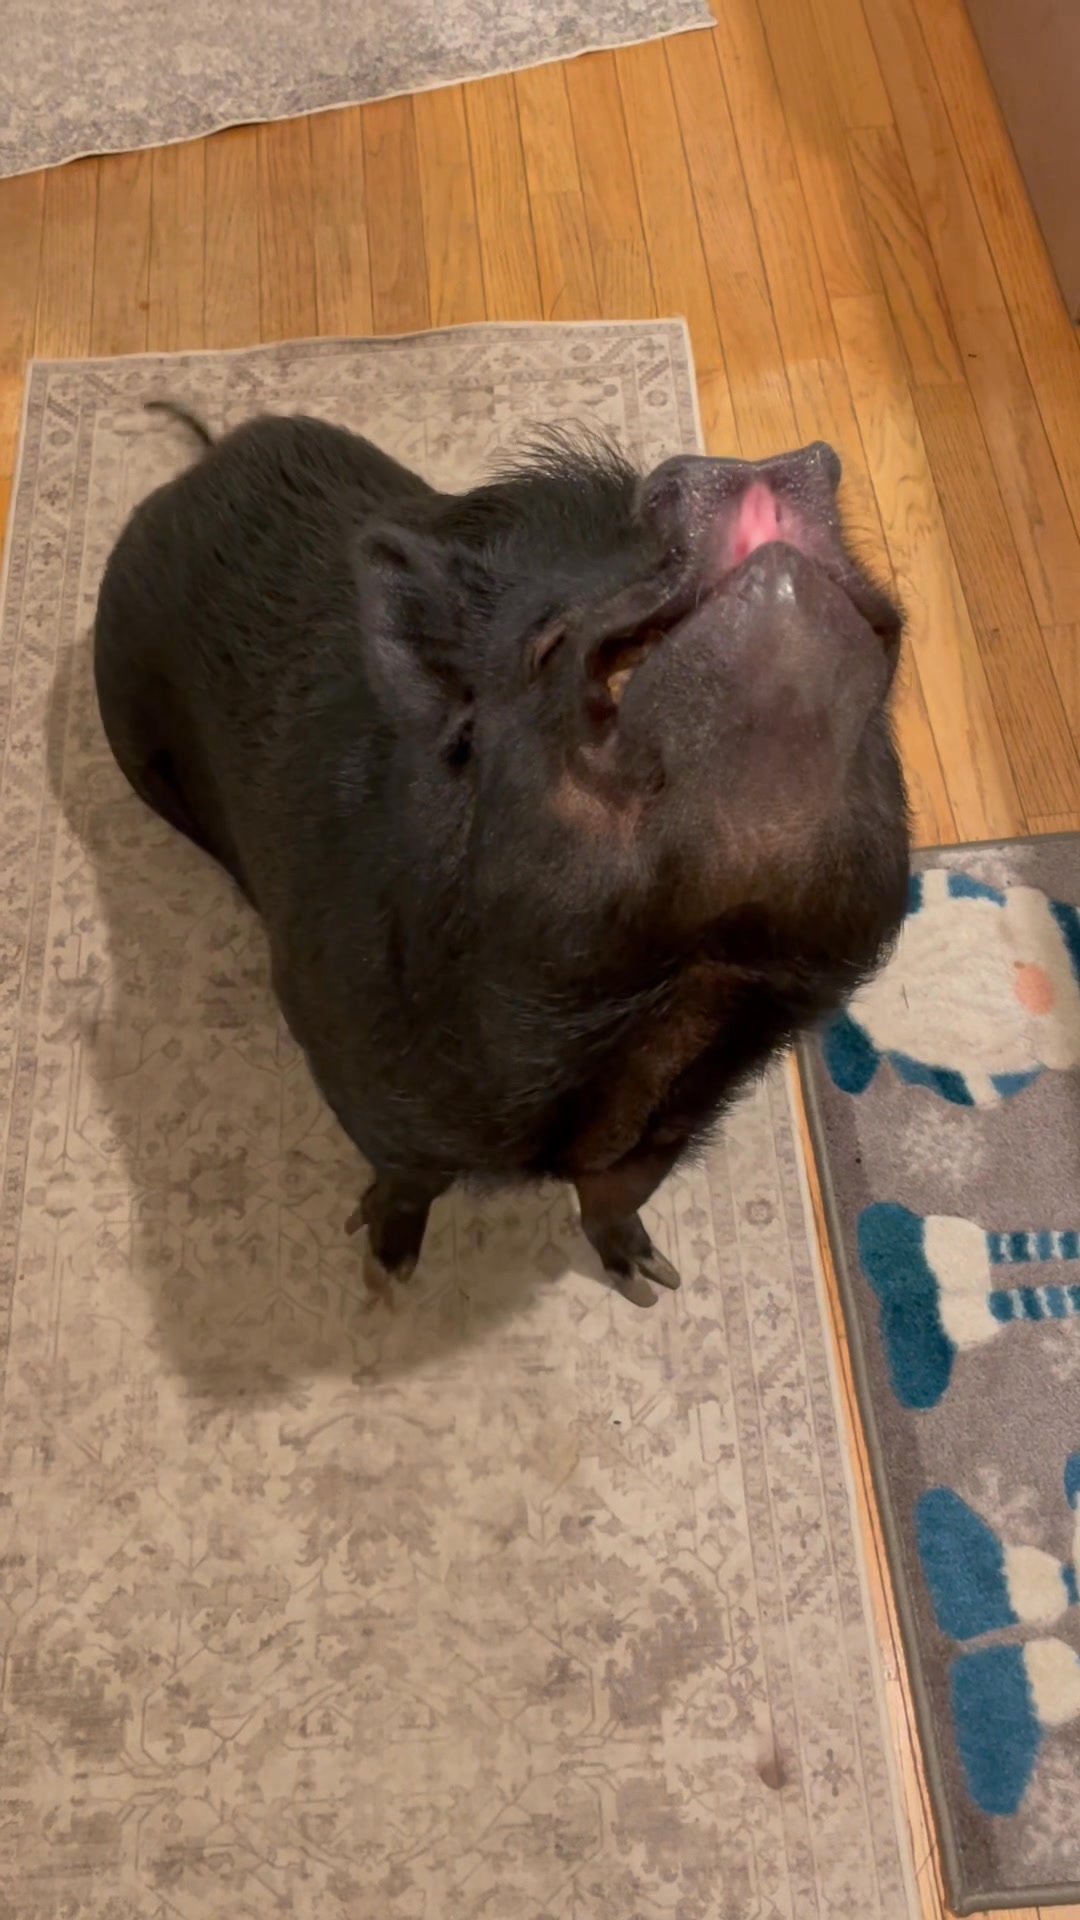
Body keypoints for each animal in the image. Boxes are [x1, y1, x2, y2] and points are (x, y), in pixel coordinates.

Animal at [93, 403, 910, 1307]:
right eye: (546, 642)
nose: (750, 464)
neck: (683, 983)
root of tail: (201, 462)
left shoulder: (685, 1110)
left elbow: (619, 1193)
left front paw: (650, 1283)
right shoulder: (349, 1066)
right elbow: (407, 1179)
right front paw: (385, 1281)